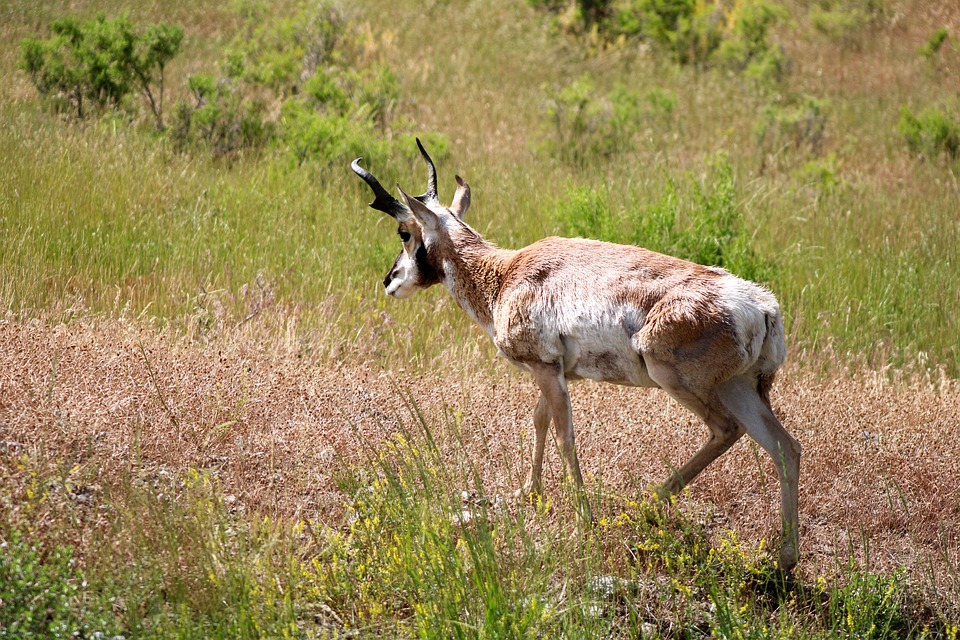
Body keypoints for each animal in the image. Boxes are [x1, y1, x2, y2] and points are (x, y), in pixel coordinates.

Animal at [351, 140, 802, 570]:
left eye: (404, 232)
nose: (389, 280)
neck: (505, 274)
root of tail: (763, 306)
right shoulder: (552, 372)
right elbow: (539, 422)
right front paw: (529, 491)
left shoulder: (546, 370)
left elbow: (565, 435)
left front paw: (583, 516)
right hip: (740, 389)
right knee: (786, 447)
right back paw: (784, 560)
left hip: (679, 380)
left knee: (726, 430)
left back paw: (645, 506)